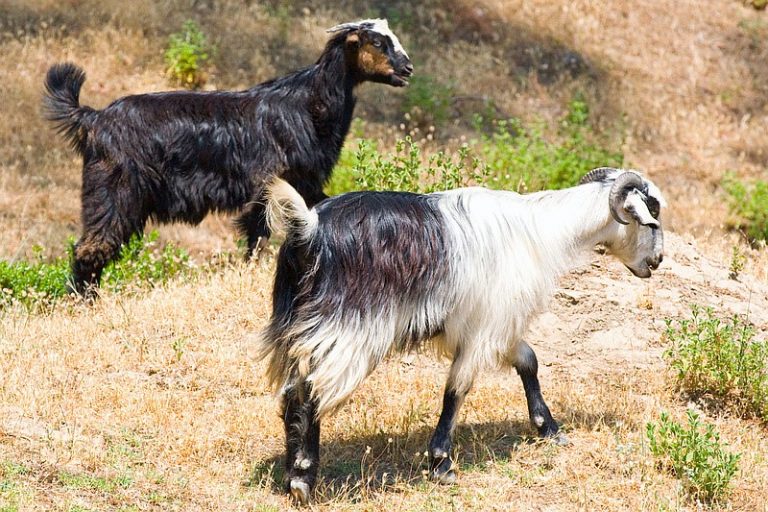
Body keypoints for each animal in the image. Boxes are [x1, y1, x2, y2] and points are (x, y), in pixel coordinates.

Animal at [43, 19, 413, 296]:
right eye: (377, 42)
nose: (408, 69)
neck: (308, 103)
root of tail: (93, 119)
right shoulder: (268, 183)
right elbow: (257, 232)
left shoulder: (305, 184)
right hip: (113, 192)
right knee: (91, 247)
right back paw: (85, 301)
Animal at [256, 168, 665, 504]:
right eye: (651, 216)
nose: (657, 261)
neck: (542, 230)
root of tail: (310, 228)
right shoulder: (486, 326)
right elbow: (458, 389)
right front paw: (441, 463)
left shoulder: (495, 326)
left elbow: (528, 361)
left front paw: (547, 427)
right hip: (349, 332)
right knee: (311, 392)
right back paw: (304, 478)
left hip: (297, 326)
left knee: (291, 392)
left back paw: (291, 473)